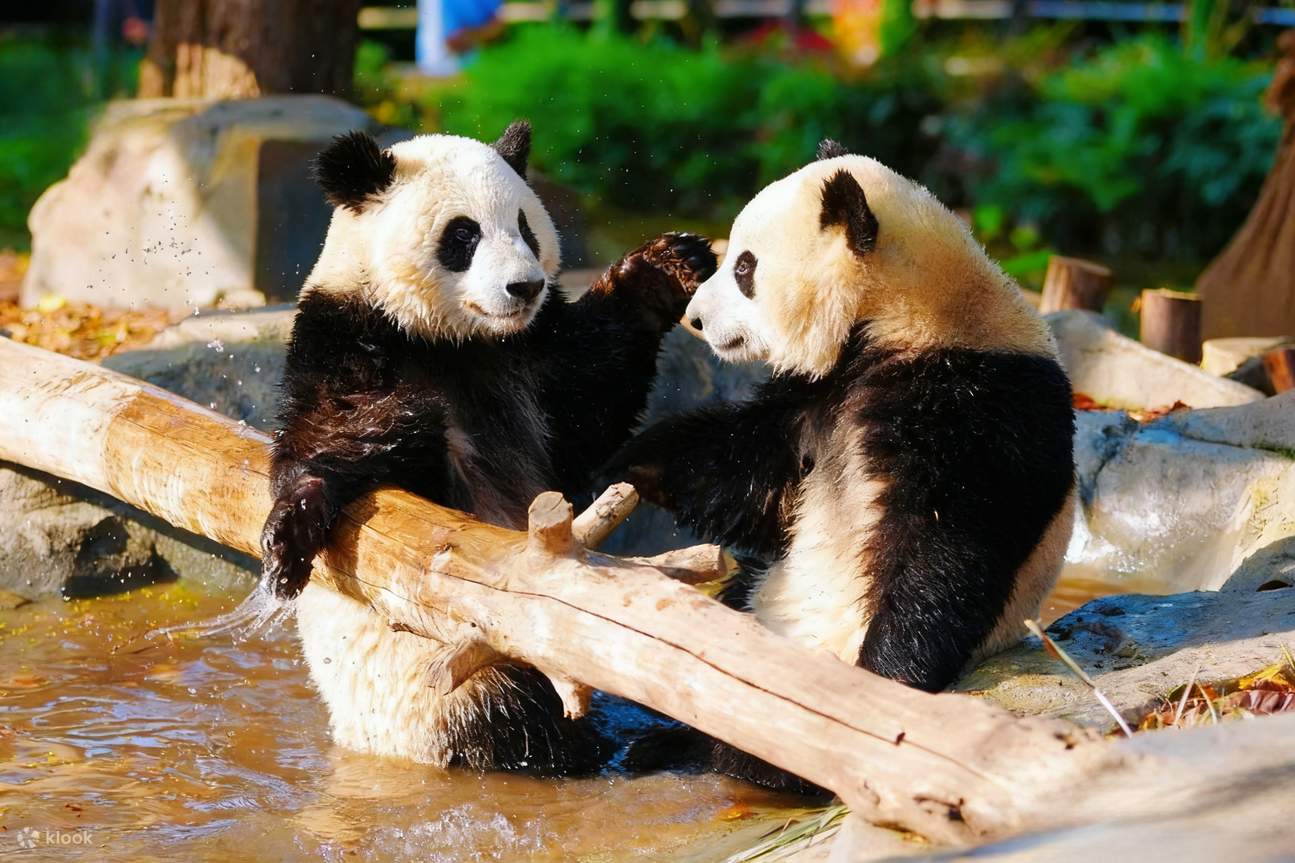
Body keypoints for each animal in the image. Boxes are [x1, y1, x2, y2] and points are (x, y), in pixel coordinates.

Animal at [260, 122, 716, 773]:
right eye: (463, 234)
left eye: (525, 225)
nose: (524, 286)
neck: (456, 340)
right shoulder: (348, 339)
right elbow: (334, 432)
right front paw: (291, 531)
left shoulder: (532, 356)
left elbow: (589, 398)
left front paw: (672, 263)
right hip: (447, 681)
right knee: (514, 718)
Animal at [608, 140, 1077, 790]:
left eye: (745, 268)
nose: (697, 320)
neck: (907, 318)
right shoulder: (818, 395)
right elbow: (754, 482)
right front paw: (631, 460)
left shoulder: (984, 407)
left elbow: (947, 548)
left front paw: (881, 691)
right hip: (765, 591)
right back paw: (664, 737)